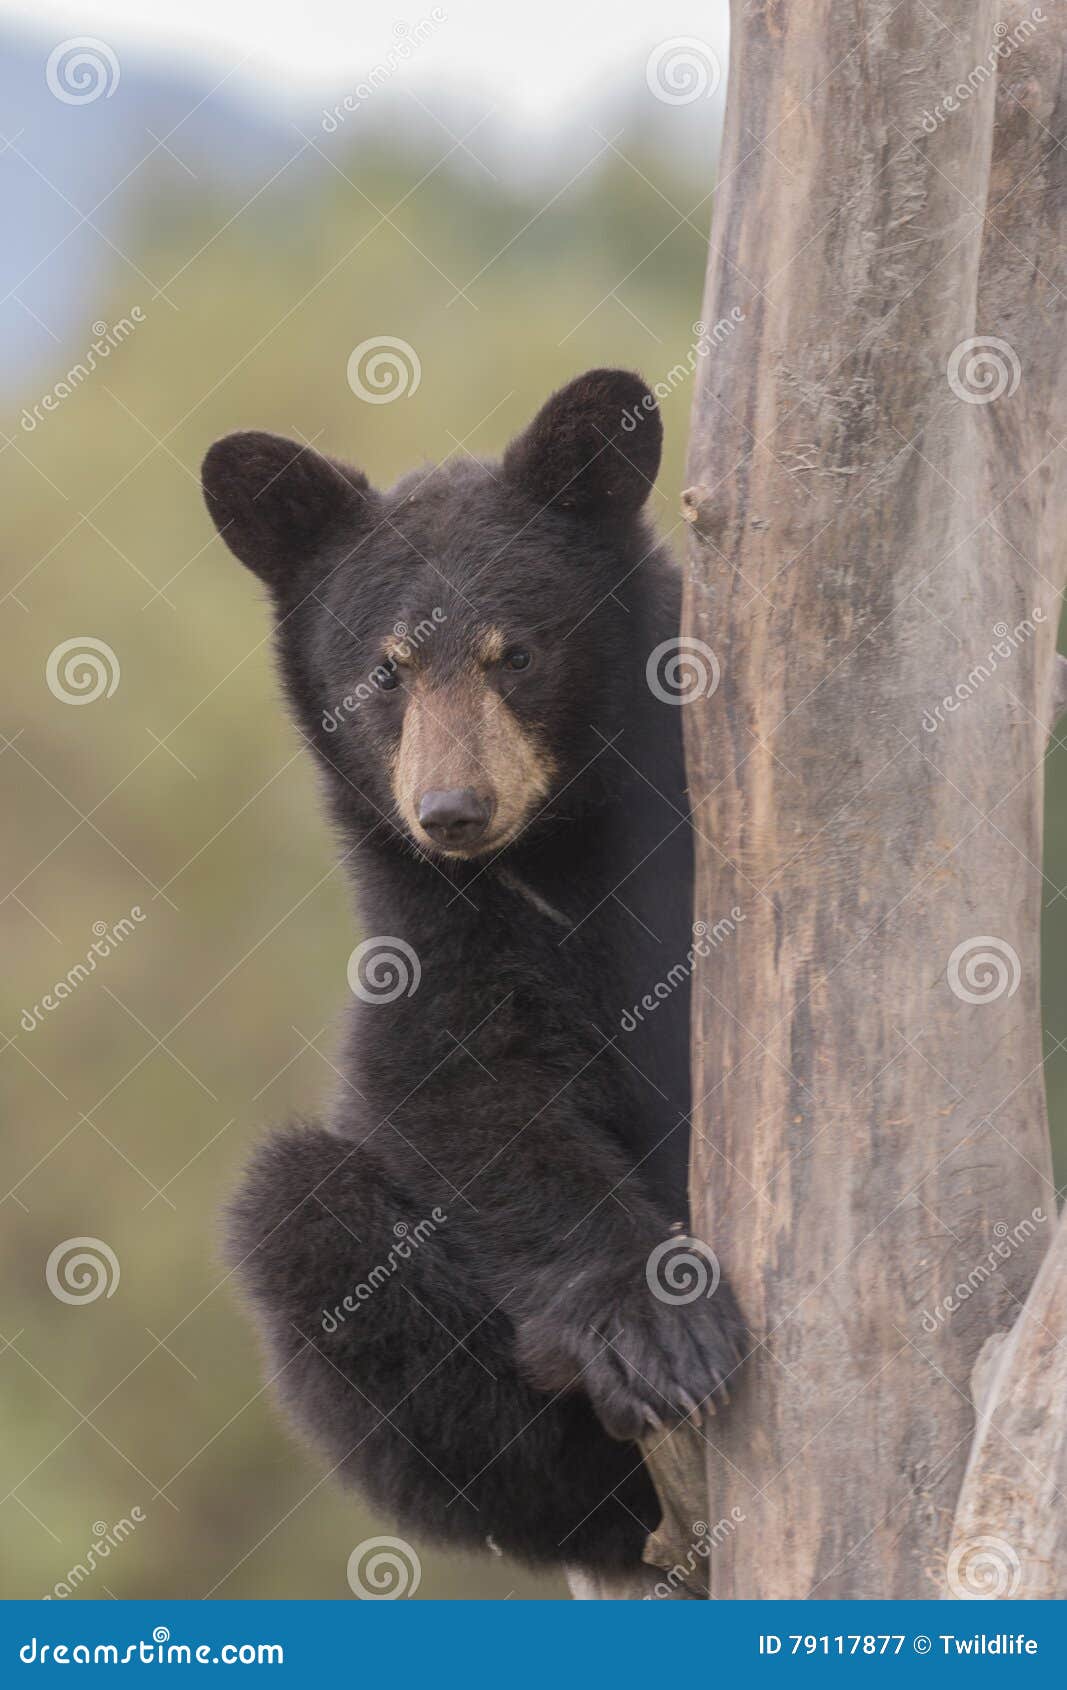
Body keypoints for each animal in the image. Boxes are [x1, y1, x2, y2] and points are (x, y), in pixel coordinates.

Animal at [201, 369, 744, 1577]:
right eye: (383, 671)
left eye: (517, 655)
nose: (452, 811)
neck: (557, 854)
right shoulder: (433, 938)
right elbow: (461, 1088)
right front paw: (655, 1328)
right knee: (296, 1209)